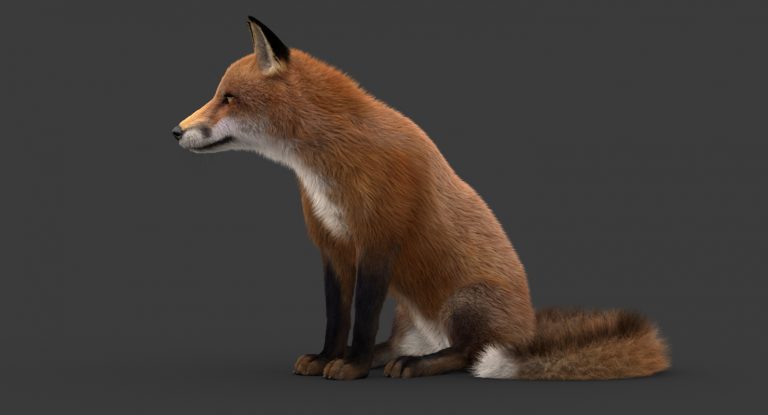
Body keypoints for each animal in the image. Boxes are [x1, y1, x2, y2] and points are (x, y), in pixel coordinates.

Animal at [173, 17, 670, 380]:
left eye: (228, 98)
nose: (176, 131)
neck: (328, 166)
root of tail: (528, 330)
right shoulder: (333, 248)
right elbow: (337, 319)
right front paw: (327, 358)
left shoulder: (378, 242)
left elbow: (361, 317)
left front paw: (351, 367)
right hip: (408, 316)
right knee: (396, 345)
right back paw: (392, 357)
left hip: (464, 304)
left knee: (469, 354)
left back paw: (415, 365)